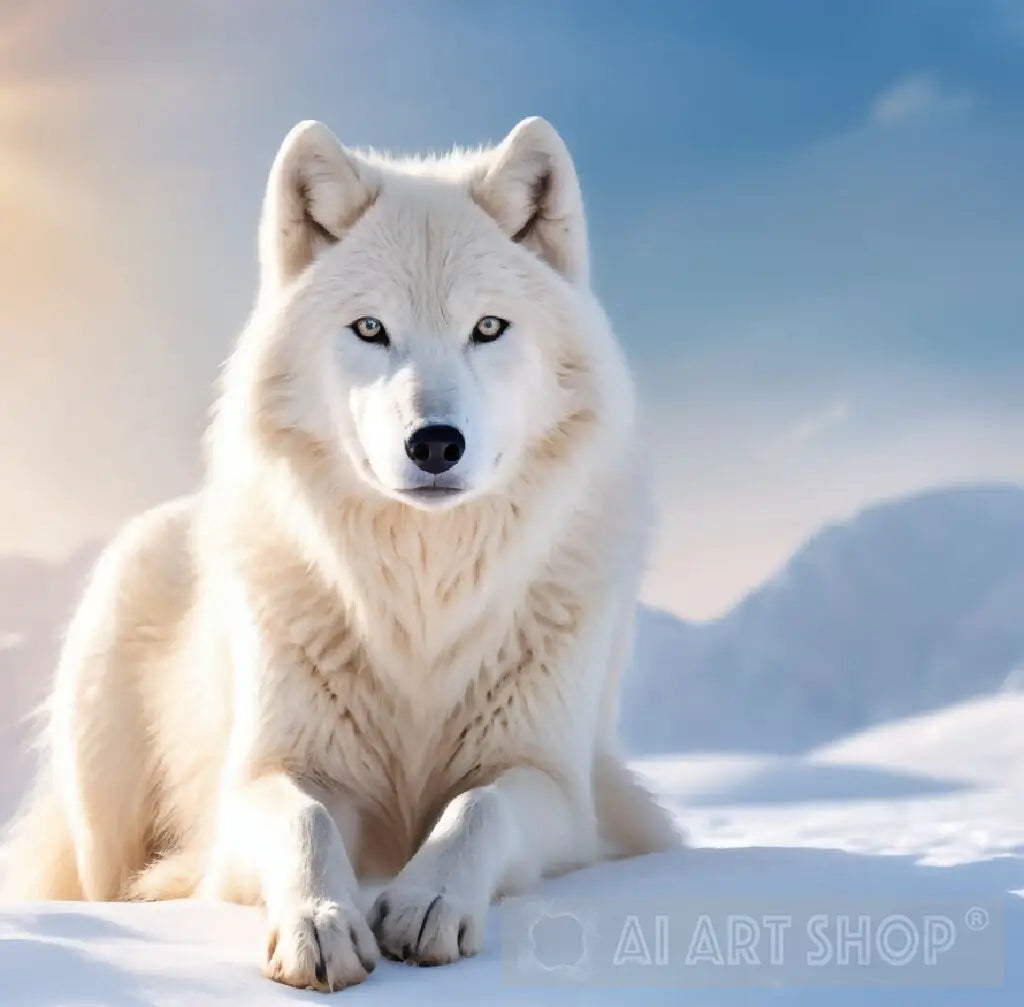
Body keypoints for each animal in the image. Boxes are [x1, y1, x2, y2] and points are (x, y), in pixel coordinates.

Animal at [1, 117, 680, 991]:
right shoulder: (271, 771)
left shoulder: (553, 782)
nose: (434, 442)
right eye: (370, 329)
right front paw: (319, 922)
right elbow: (305, 819)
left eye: (487, 328)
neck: (424, 597)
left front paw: (426, 901)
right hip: (102, 796)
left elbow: (478, 808)